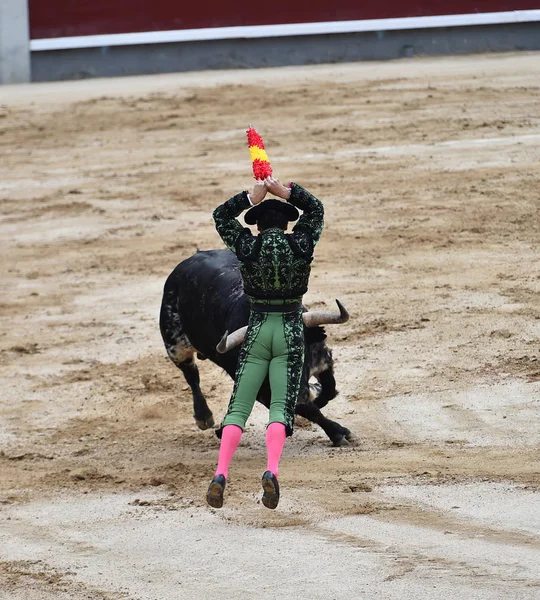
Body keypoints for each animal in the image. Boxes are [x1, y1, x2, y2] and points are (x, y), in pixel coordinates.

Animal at [159, 248, 354, 446]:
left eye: (300, 352)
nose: (300, 395)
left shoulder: (323, 359)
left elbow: (329, 388)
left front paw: (319, 395)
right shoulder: (264, 393)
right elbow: (310, 410)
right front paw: (338, 432)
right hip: (175, 347)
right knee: (192, 376)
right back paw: (203, 417)